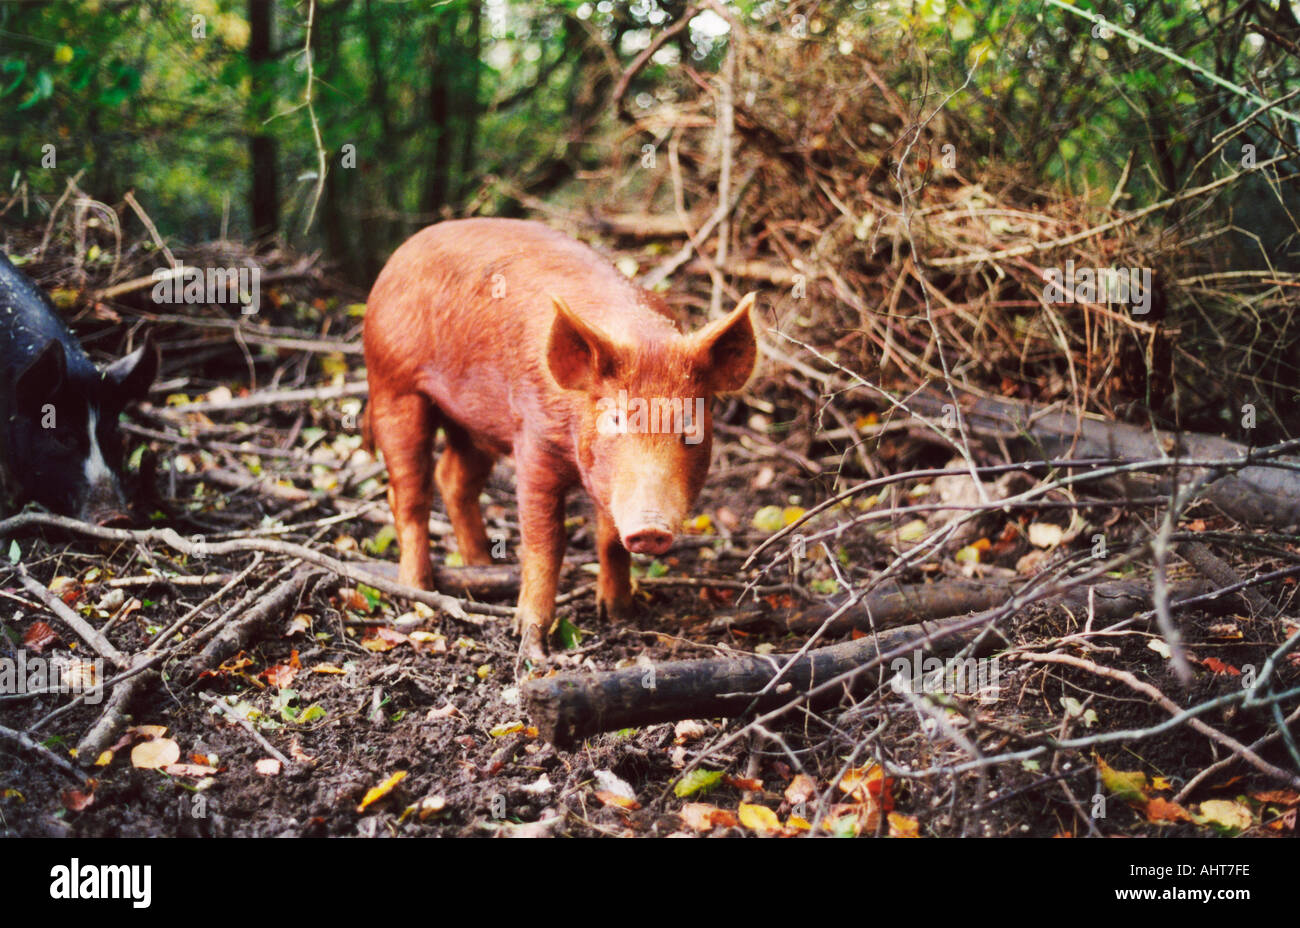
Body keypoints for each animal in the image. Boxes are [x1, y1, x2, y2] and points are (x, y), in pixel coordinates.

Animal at [363, 218, 757, 661]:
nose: (650, 527)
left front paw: (620, 615)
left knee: (453, 479)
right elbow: (546, 542)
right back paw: (417, 593)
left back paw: (484, 568)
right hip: (393, 384)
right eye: (615, 419)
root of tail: (400, 254)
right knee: (409, 491)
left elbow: (609, 540)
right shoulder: (533, 444)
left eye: (690, 425)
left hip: (473, 422)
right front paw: (532, 643)